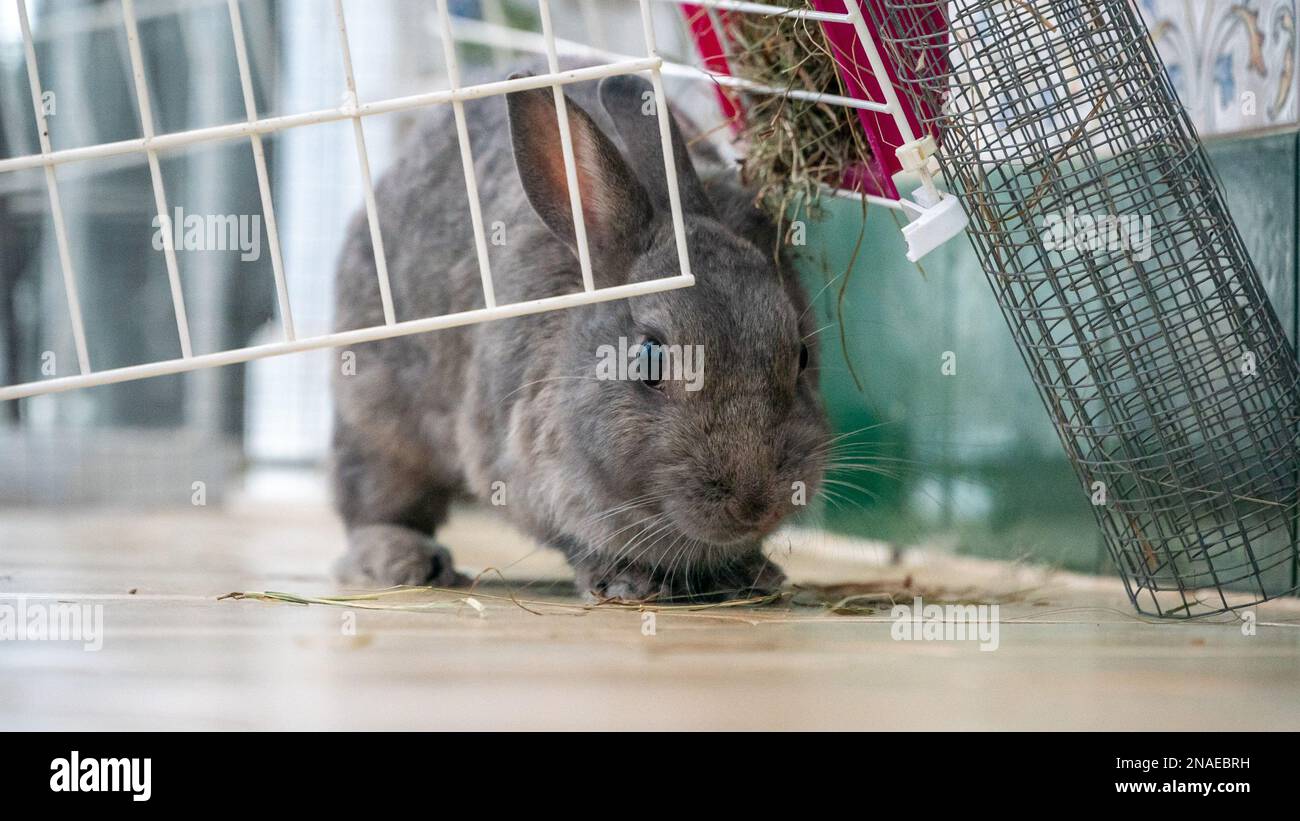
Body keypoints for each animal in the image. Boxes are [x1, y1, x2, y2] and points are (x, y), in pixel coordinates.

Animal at [330, 71, 829, 602]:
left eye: (800, 356)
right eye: (650, 361)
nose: (755, 502)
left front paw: (751, 575)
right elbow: (578, 540)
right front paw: (626, 582)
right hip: (375, 422)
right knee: (374, 504)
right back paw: (408, 560)